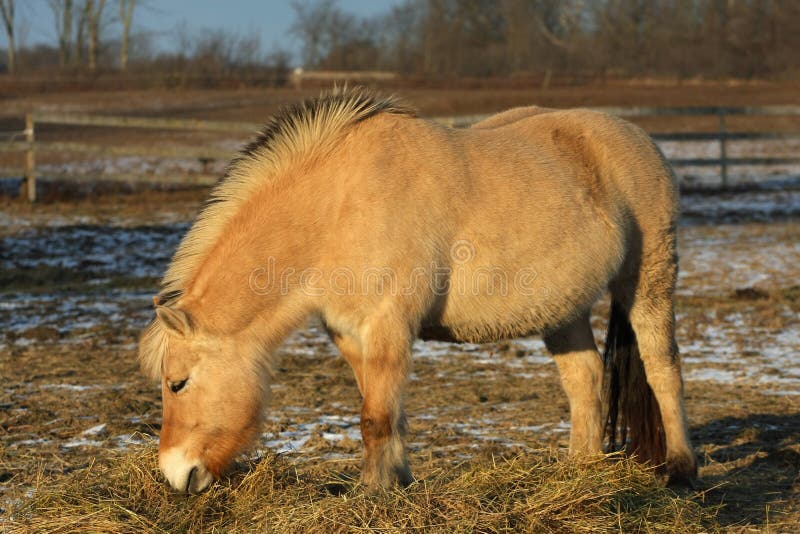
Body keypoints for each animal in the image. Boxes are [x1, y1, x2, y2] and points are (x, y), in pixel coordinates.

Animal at [139, 87, 697, 493]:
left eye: (178, 383)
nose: (176, 475)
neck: (338, 207)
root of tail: (637, 137)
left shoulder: (389, 325)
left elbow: (375, 417)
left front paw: (373, 493)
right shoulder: (350, 334)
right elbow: (383, 411)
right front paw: (396, 480)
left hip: (648, 280)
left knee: (663, 369)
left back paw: (681, 468)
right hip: (563, 308)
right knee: (585, 379)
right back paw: (580, 471)